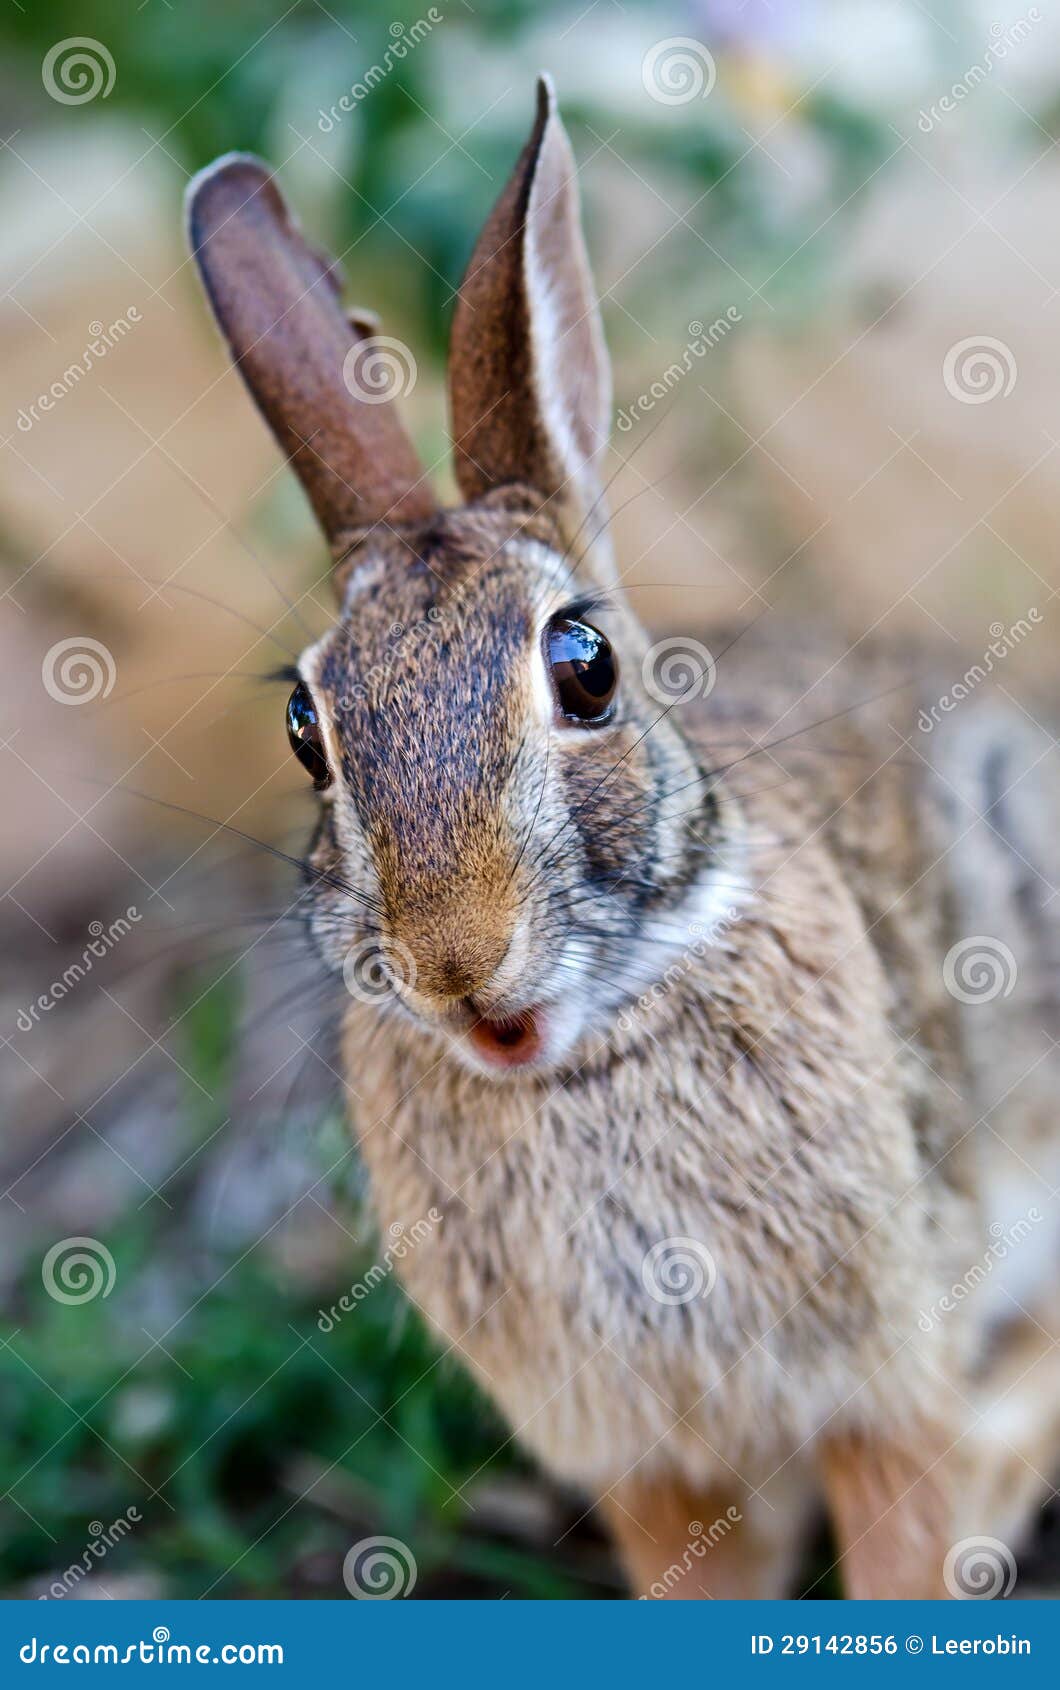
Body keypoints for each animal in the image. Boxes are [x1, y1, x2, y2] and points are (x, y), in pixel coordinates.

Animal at [186, 76, 1060, 1599]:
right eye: (304, 727)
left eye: (584, 667)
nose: (458, 964)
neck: (586, 1058)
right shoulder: (652, 1460)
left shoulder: (882, 1384)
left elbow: (901, 1532)